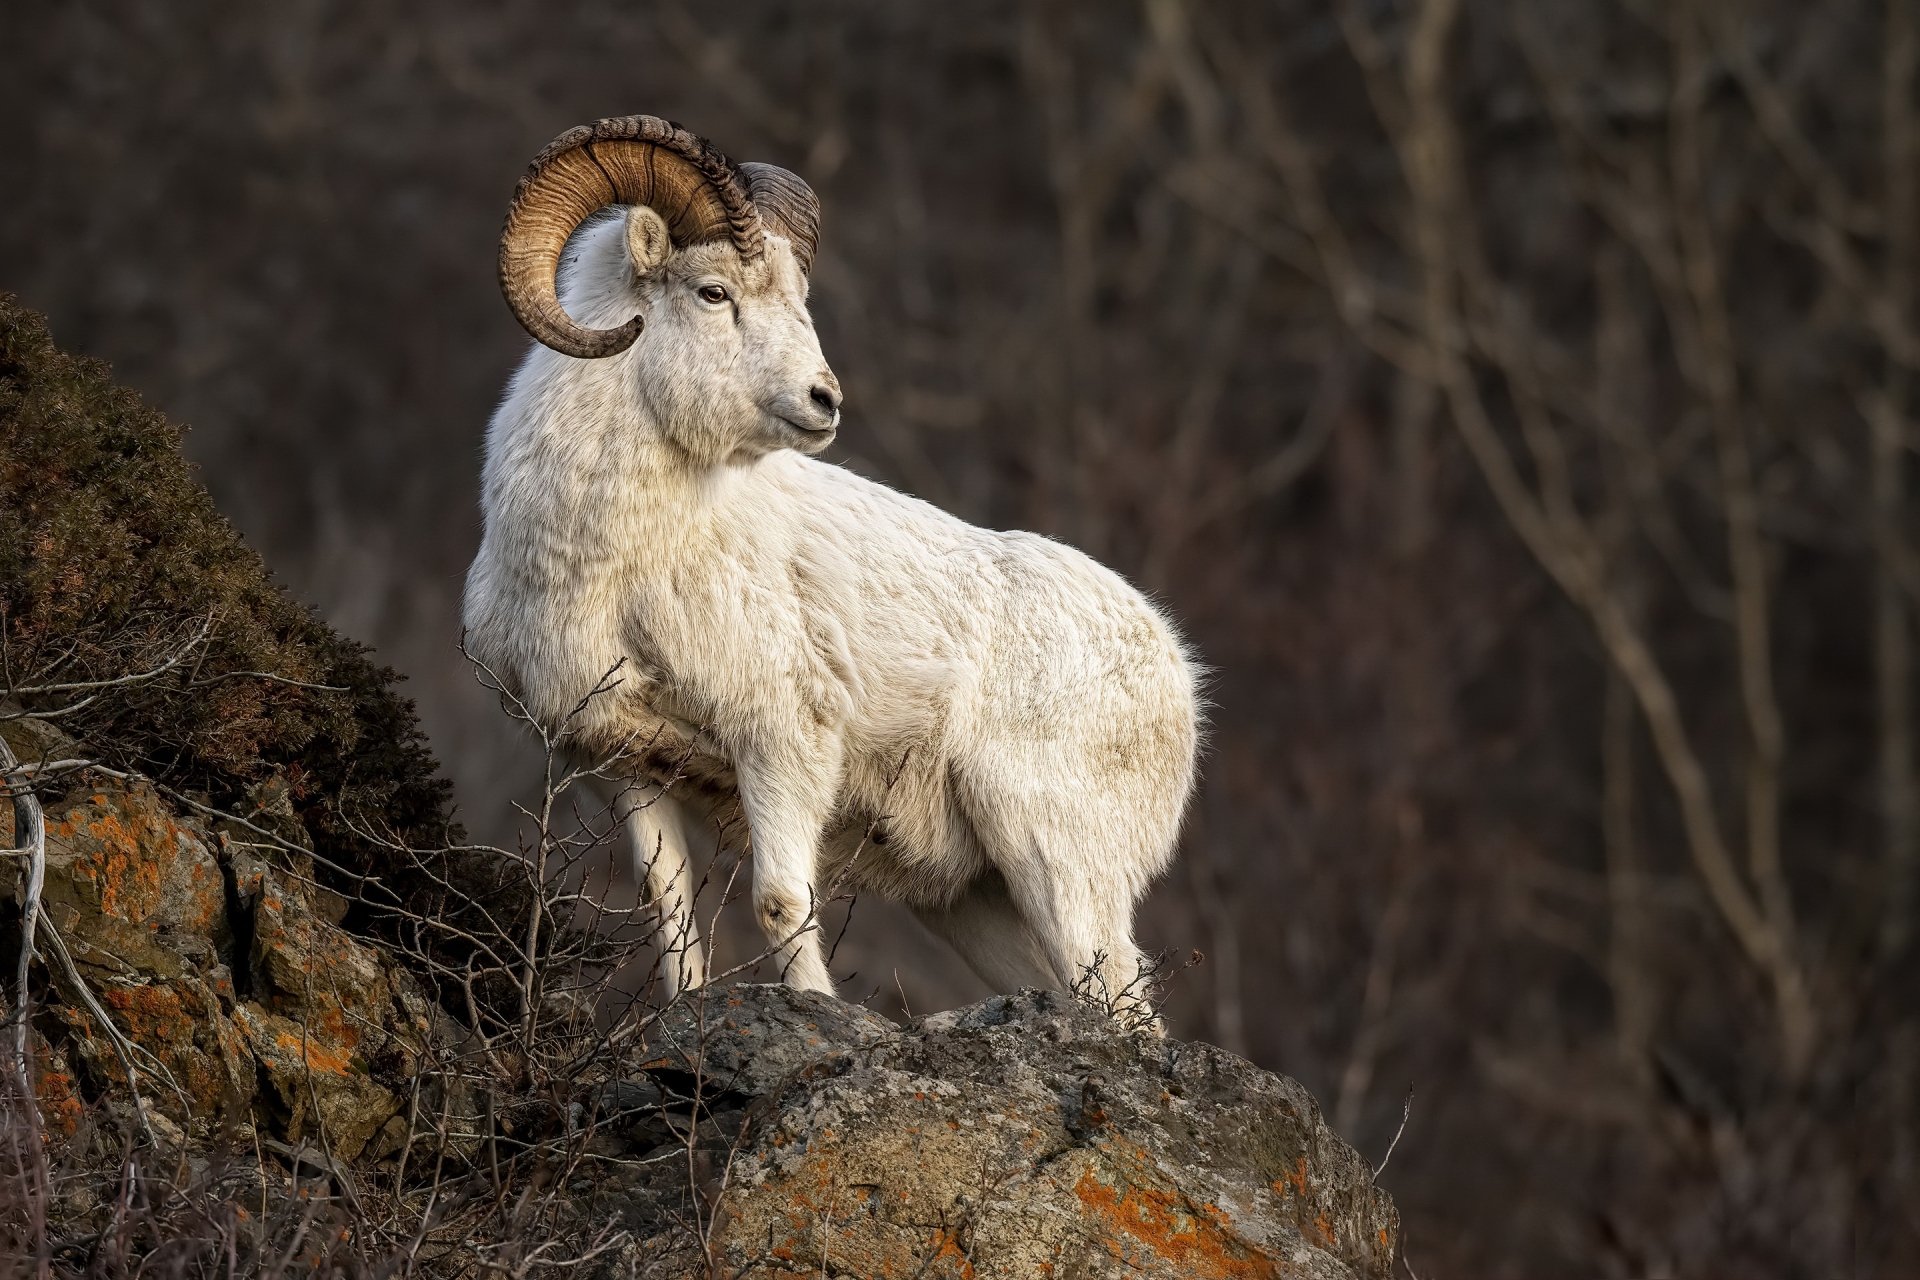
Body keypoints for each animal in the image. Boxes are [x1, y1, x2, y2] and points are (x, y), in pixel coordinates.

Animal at [462, 116, 1202, 1015]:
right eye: (714, 293)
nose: (826, 401)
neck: (609, 571)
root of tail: (1174, 669)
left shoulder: (782, 748)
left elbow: (782, 902)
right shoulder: (624, 765)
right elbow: (670, 918)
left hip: (1059, 863)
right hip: (977, 902)